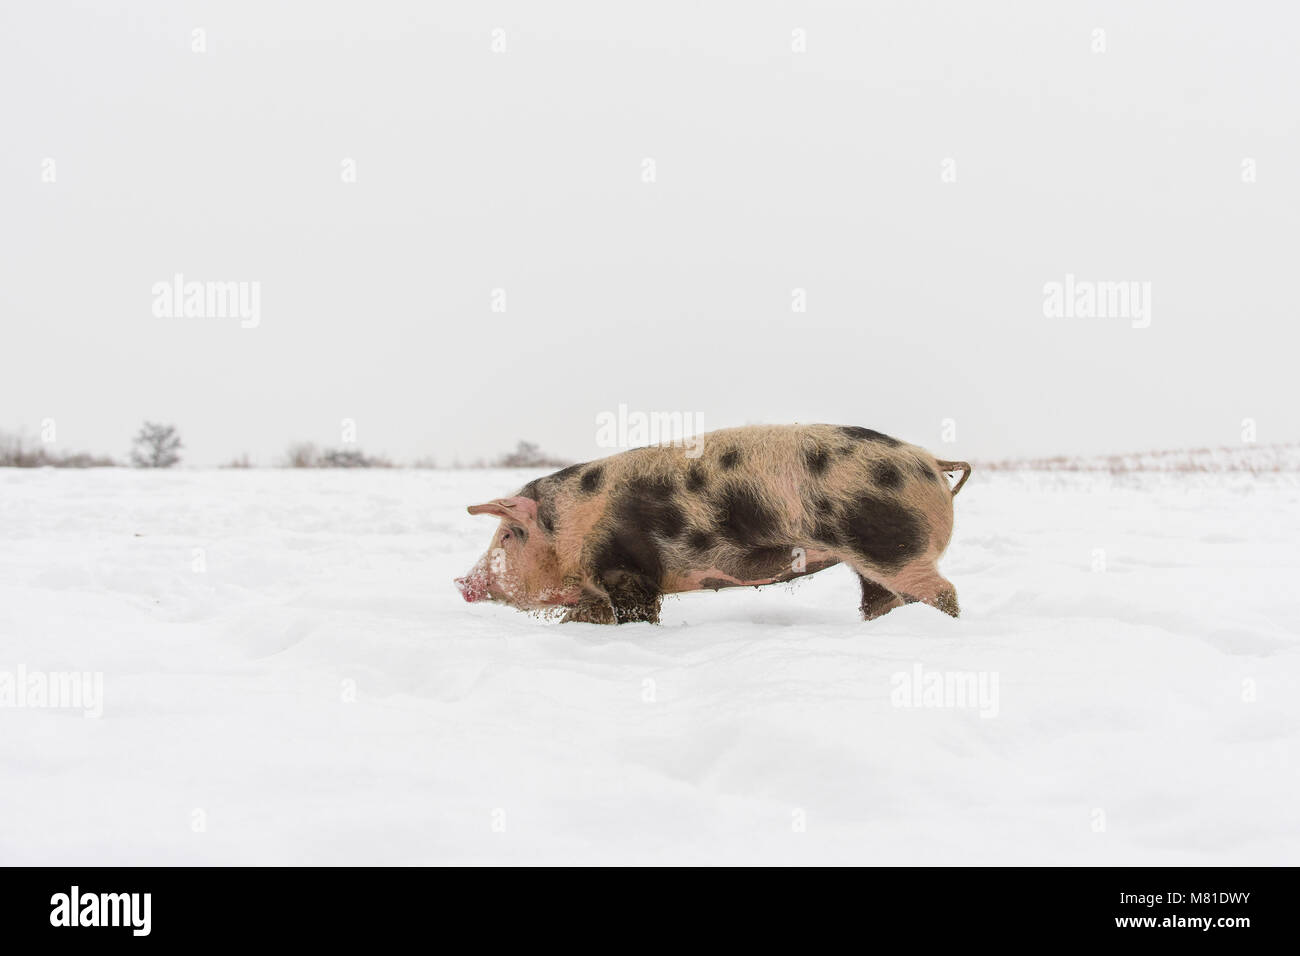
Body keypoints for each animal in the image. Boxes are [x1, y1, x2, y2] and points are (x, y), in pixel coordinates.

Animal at [455, 424, 971, 624]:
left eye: (507, 534)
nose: (462, 582)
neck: (567, 528)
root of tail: (932, 463)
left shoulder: (627, 574)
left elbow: (638, 615)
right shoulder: (598, 589)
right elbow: (583, 617)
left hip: (897, 550)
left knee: (943, 592)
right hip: (873, 562)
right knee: (882, 599)